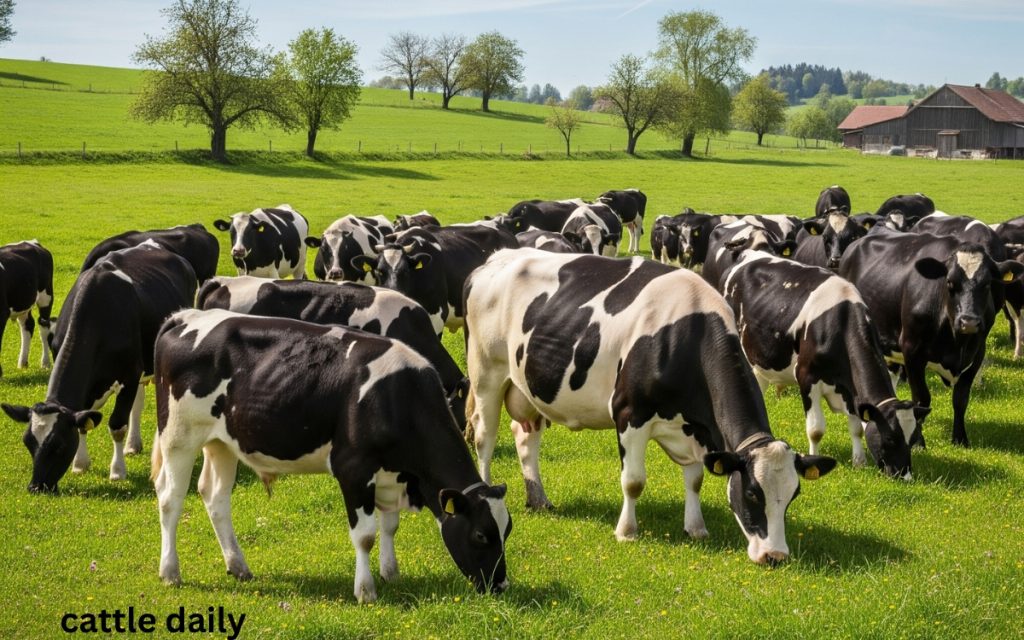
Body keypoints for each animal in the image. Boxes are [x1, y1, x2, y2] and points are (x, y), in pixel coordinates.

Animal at [0, 241, 54, 378]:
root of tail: (33, 242)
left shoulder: (2, 313)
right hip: (24, 303)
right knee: (28, 325)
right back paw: (23, 362)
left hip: (46, 297)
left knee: (43, 326)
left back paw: (45, 363)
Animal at [151, 308, 512, 602]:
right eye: (481, 535)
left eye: (507, 531)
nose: (500, 585)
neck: (397, 396)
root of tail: (183, 316)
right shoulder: (353, 470)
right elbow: (365, 536)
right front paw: (366, 591)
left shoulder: (392, 474)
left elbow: (390, 525)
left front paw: (391, 573)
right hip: (179, 436)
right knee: (170, 499)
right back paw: (170, 571)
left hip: (222, 442)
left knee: (215, 496)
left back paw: (238, 565)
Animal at [464, 249, 836, 564]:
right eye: (752, 493)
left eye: (793, 495)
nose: (775, 556)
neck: (686, 335)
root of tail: (497, 257)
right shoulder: (630, 415)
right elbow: (633, 481)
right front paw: (626, 532)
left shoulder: (695, 429)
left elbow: (696, 479)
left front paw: (696, 527)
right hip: (486, 373)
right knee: (485, 437)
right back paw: (487, 493)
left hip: (528, 387)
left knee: (525, 437)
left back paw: (538, 498)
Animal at [716, 250, 926, 478]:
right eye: (890, 439)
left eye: (913, 439)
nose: (905, 476)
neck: (839, 323)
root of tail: (748, 253)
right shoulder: (807, 378)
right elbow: (815, 430)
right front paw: (813, 460)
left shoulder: (849, 389)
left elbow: (856, 427)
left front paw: (859, 462)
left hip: (759, 364)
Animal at [839, 230, 1023, 447]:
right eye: (950, 282)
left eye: (987, 284)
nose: (968, 321)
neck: (956, 342)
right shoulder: (912, 351)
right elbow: (921, 398)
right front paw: (918, 442)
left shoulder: (977, 353)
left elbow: (961, 399)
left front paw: (960, 438)